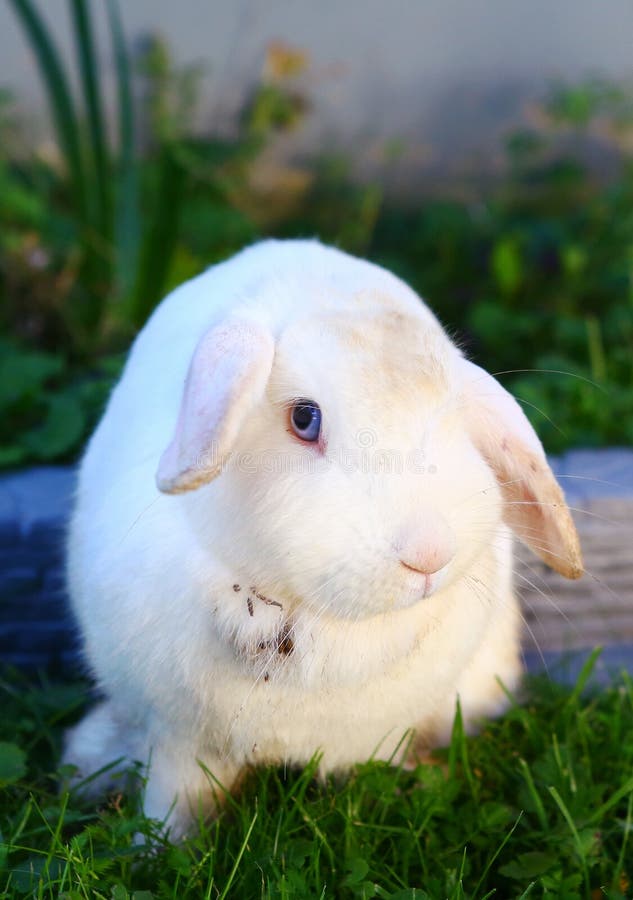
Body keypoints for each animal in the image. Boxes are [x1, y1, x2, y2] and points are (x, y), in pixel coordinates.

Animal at [63, 238, 583, 838]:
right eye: (305, 419)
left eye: (453, 421)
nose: (430, 555)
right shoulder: (178, 739)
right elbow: (177, 799)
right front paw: (162, 847)